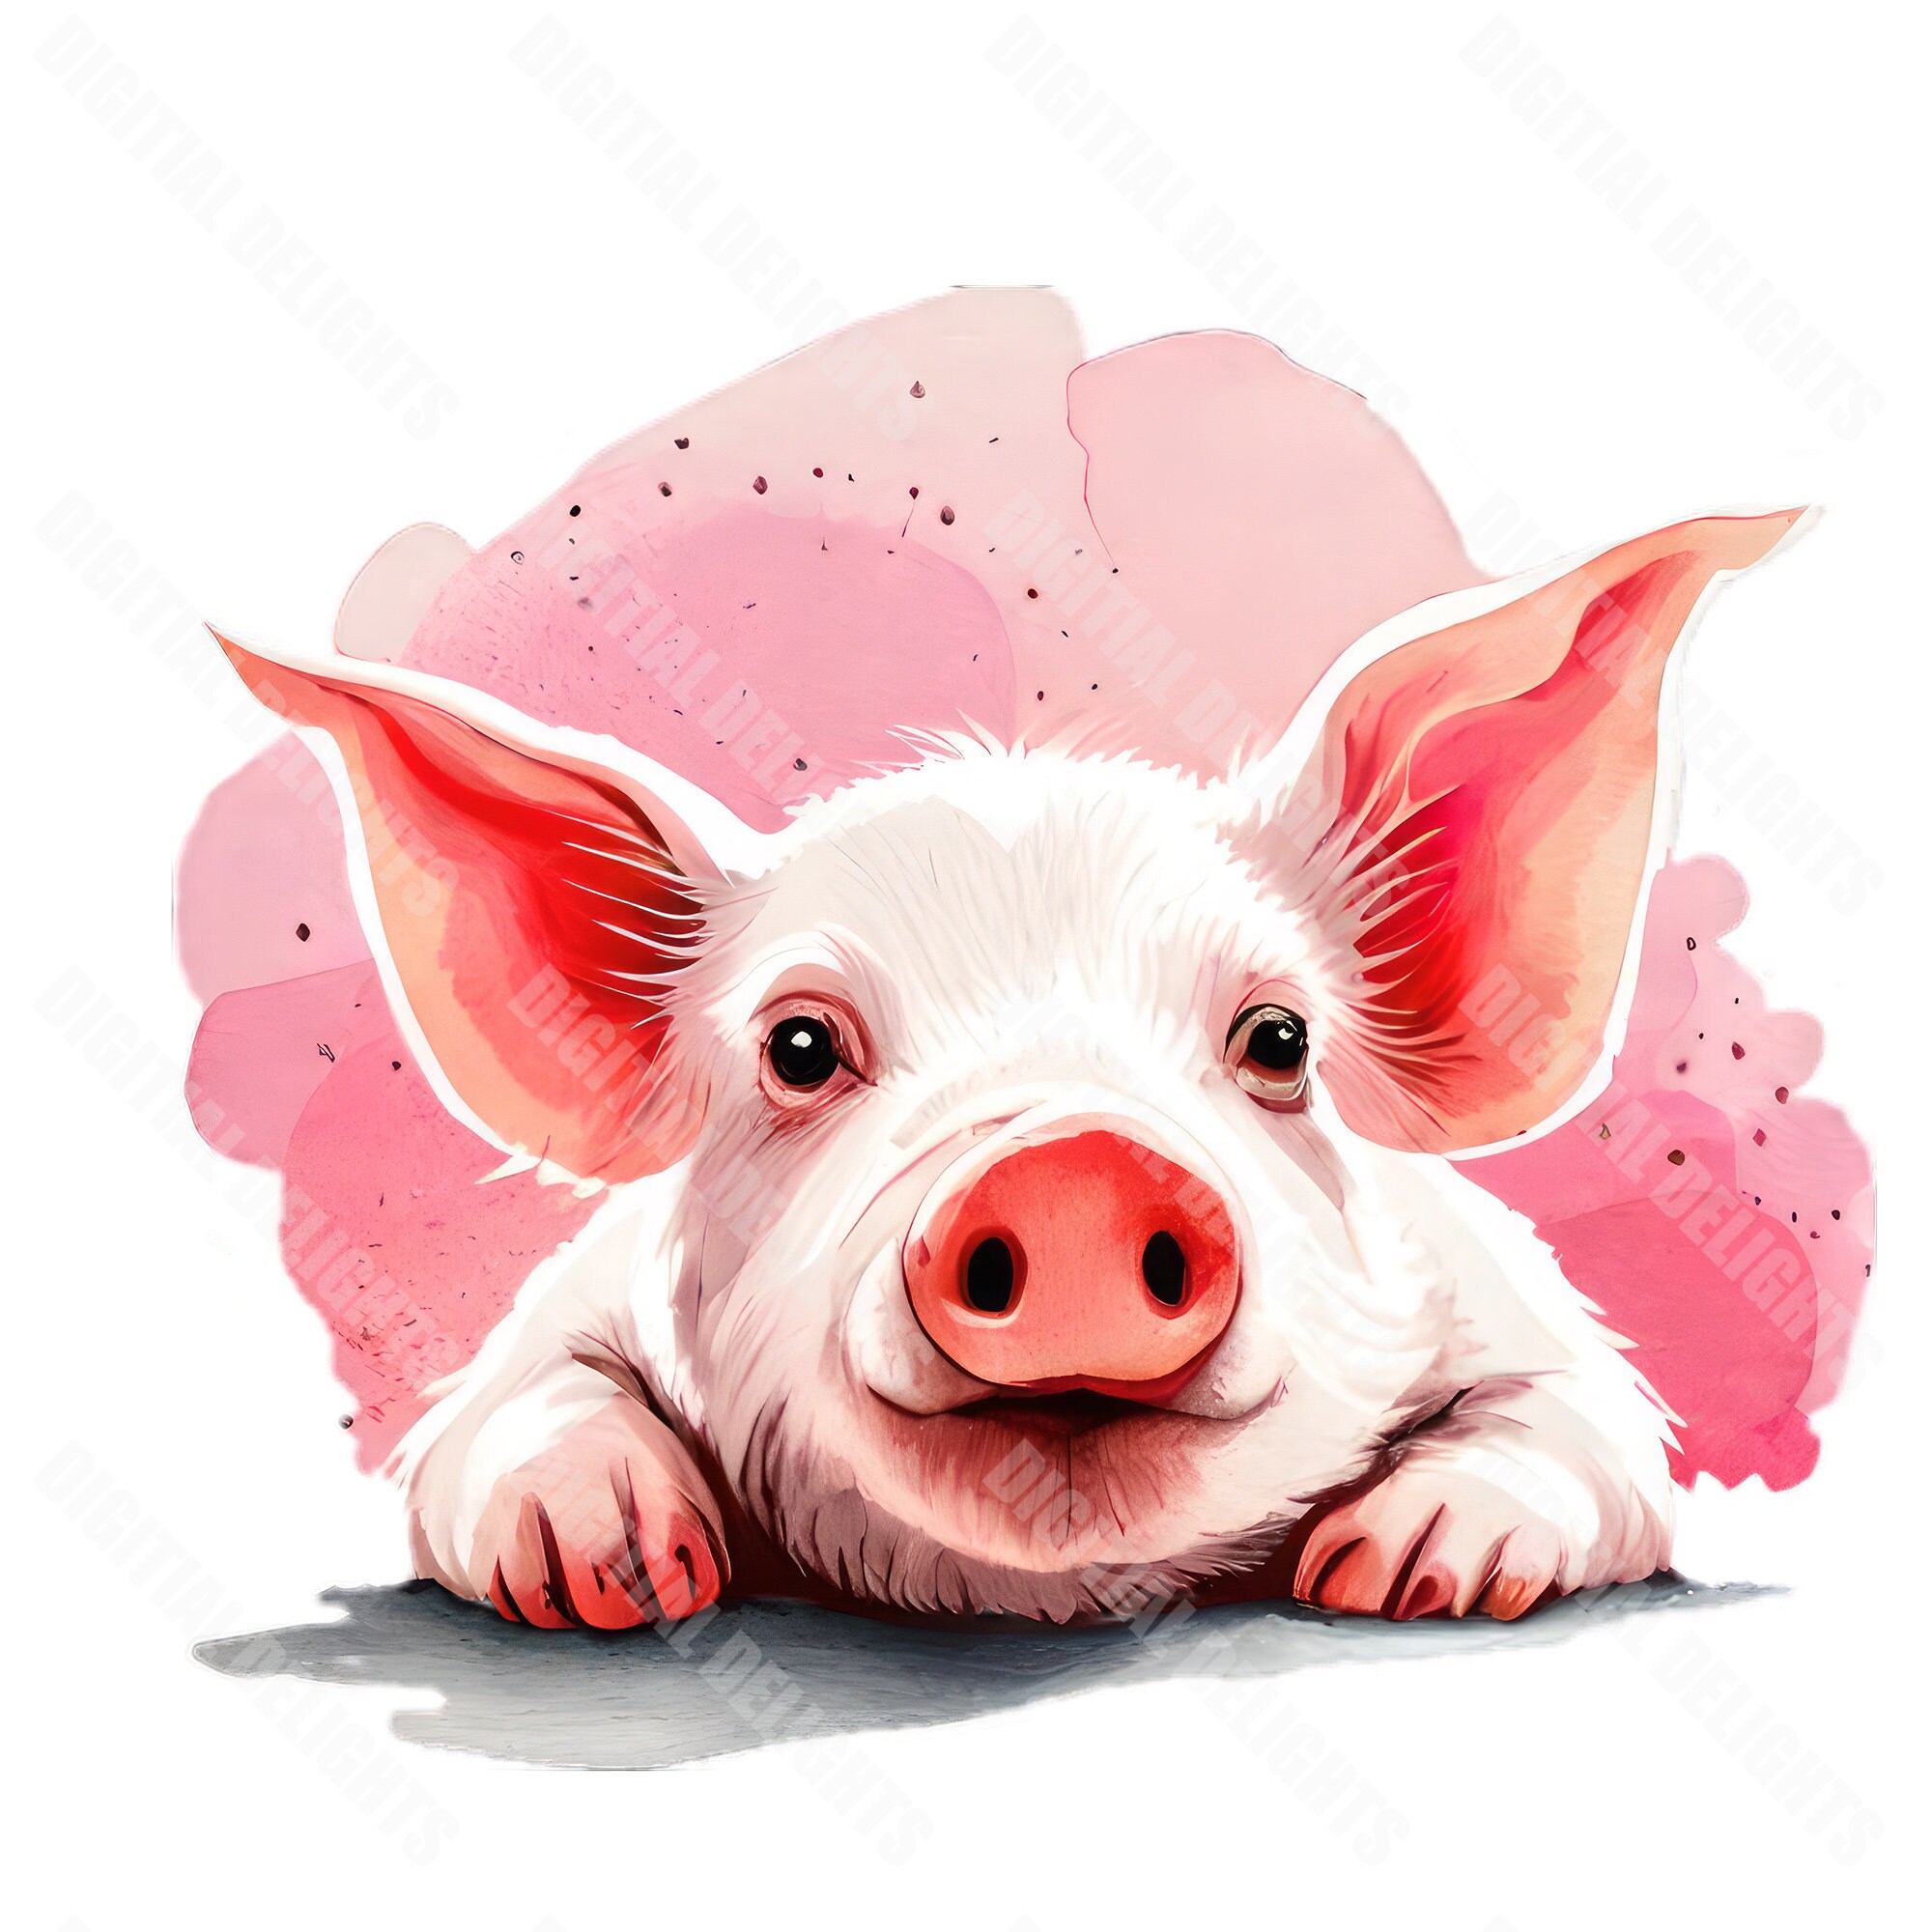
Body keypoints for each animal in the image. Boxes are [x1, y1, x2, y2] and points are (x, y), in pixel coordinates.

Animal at [215, 504, 1800, 1626]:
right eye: (799, 1045)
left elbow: (1585, 1425)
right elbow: (510, 1411)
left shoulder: (1518, 1311)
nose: (1073, 1166)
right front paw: (618, 1577)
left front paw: (1394, 1575)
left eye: (1279, 1040)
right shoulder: (546, 1329)